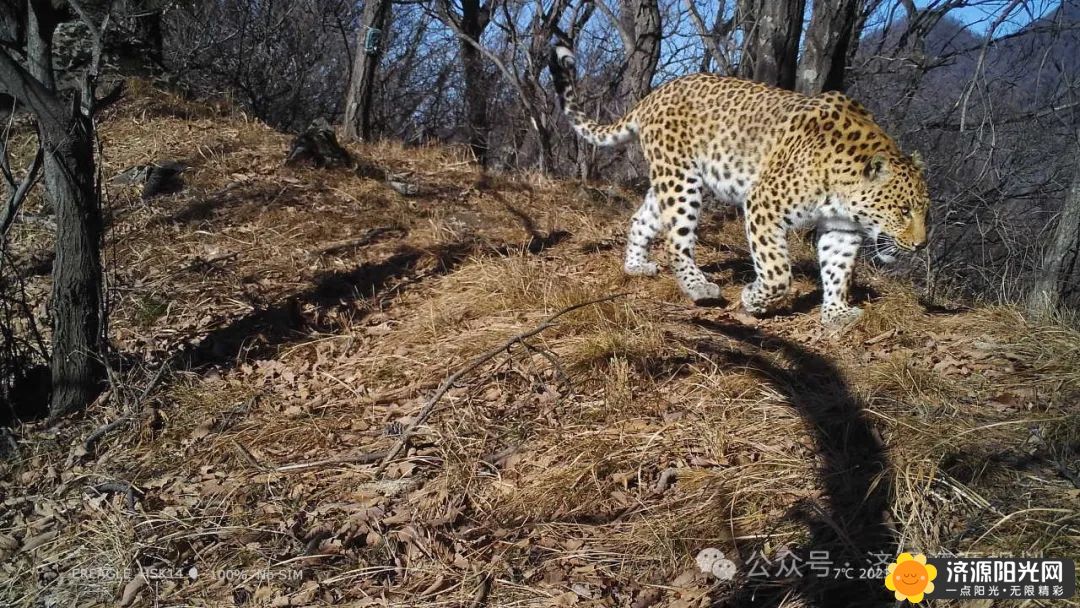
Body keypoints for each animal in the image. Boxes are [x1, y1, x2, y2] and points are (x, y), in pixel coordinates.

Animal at [548, 42, 928, 326]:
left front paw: (836, 313)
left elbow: (838, 270)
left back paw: (636, 266)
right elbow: (777, 271)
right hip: (683, 181)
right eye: (903, 210)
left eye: (924, 211)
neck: (844, 186)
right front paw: (754, 299)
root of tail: (656, 93)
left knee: (642, 219)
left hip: (670, 179)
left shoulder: (841, 229)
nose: (921, 245)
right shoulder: (764, 204)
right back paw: (699, 288)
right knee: (676, 240)